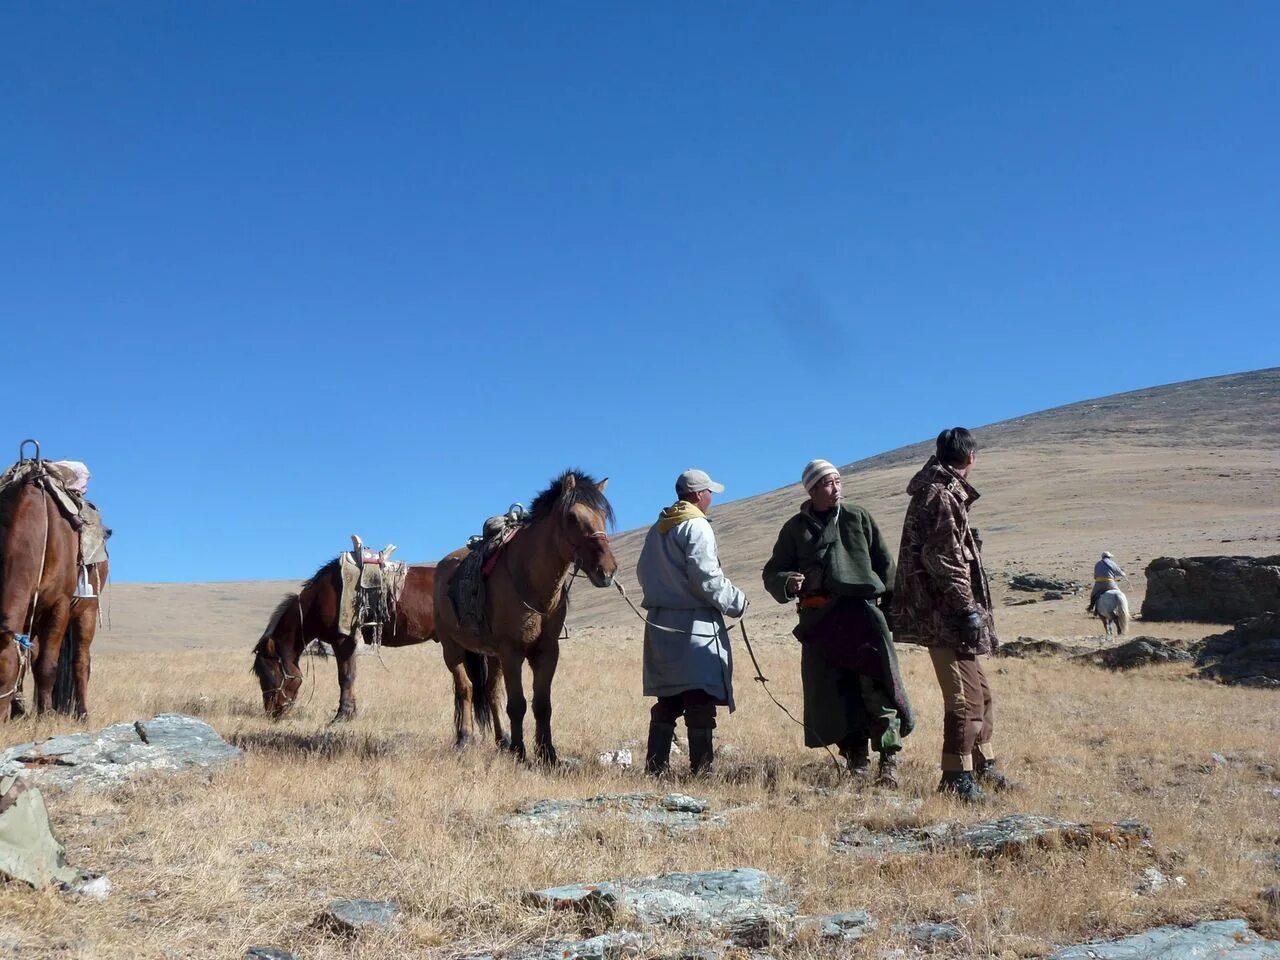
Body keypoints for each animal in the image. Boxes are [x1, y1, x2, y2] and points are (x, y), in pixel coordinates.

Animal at [0, 450, 106, 721]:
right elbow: (28, 661)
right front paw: (22, 710)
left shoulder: (59, 606)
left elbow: (47, 665)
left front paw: (45, 716)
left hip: (87, 612)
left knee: (80, 660)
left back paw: (81, 713)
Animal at [252, 560, 501, 727]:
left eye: (269, 674)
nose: (272, 713)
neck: (321, 598)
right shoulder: (349, 644)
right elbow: (351, 676)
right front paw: (350, 712)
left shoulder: (342, 642)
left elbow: (345, 678)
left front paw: (340, 717)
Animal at [432, 468, 616, 768]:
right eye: (572, 517)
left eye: (602, 516)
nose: (607, 571)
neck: (531, 580)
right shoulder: (512, 651)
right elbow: (517, 704)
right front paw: (520, 752)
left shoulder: (547, 651)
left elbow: (542, 705)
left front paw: (547, 753)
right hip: (453, 649)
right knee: (465, 690)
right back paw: (464, 739)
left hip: (492, 655)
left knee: (491, 693)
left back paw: (501, 741)